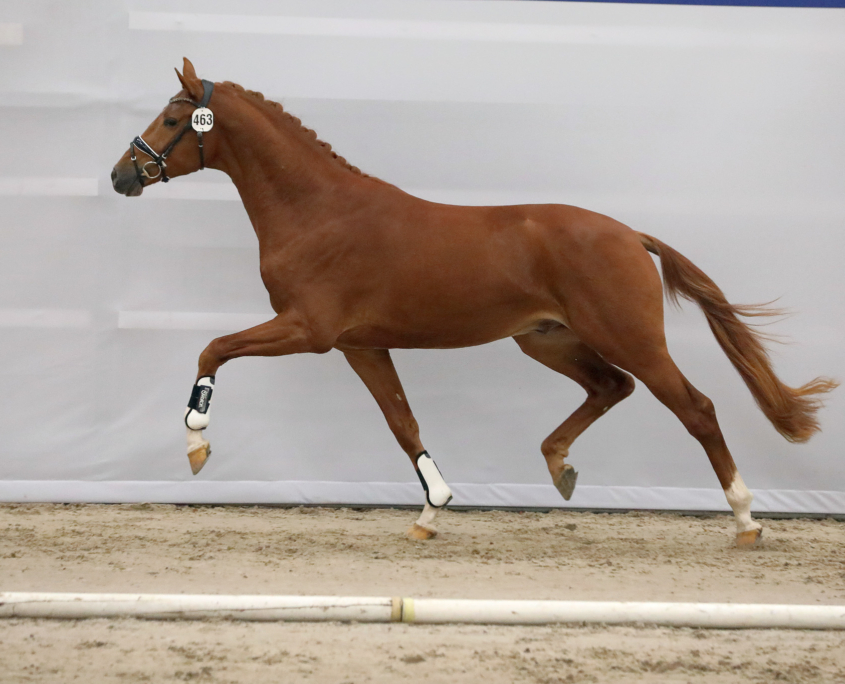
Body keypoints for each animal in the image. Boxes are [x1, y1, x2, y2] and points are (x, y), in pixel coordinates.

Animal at [112, 58, 836, 546]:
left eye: (173, 119)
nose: (122, 174)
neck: (318, 213)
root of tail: (630, 234)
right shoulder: (360, 344)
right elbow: (402, 424)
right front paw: (432, 509)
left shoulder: (309, 331)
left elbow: (213, 347)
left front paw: (197, 445)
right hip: (546, 339)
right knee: (611, 388)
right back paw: (559, 467)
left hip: (627, 336)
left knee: (696, 407)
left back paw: (745, 520)